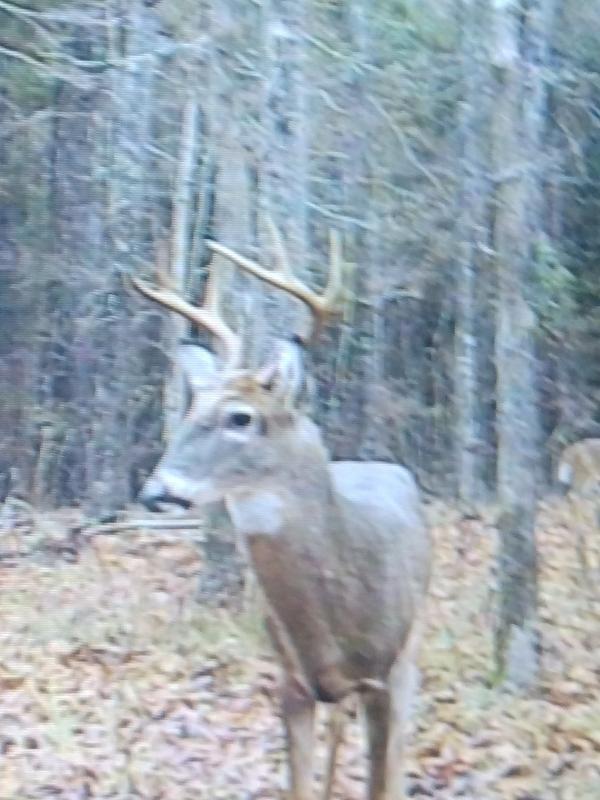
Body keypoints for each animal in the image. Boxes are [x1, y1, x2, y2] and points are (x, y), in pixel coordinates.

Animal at [133, 219, 432, 800]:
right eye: (190, 410)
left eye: (241, 417)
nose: (157, 492)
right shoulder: (290, 681)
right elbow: (299, 784)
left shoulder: (382, 676)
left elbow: (382, 779)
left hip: (410, 649)